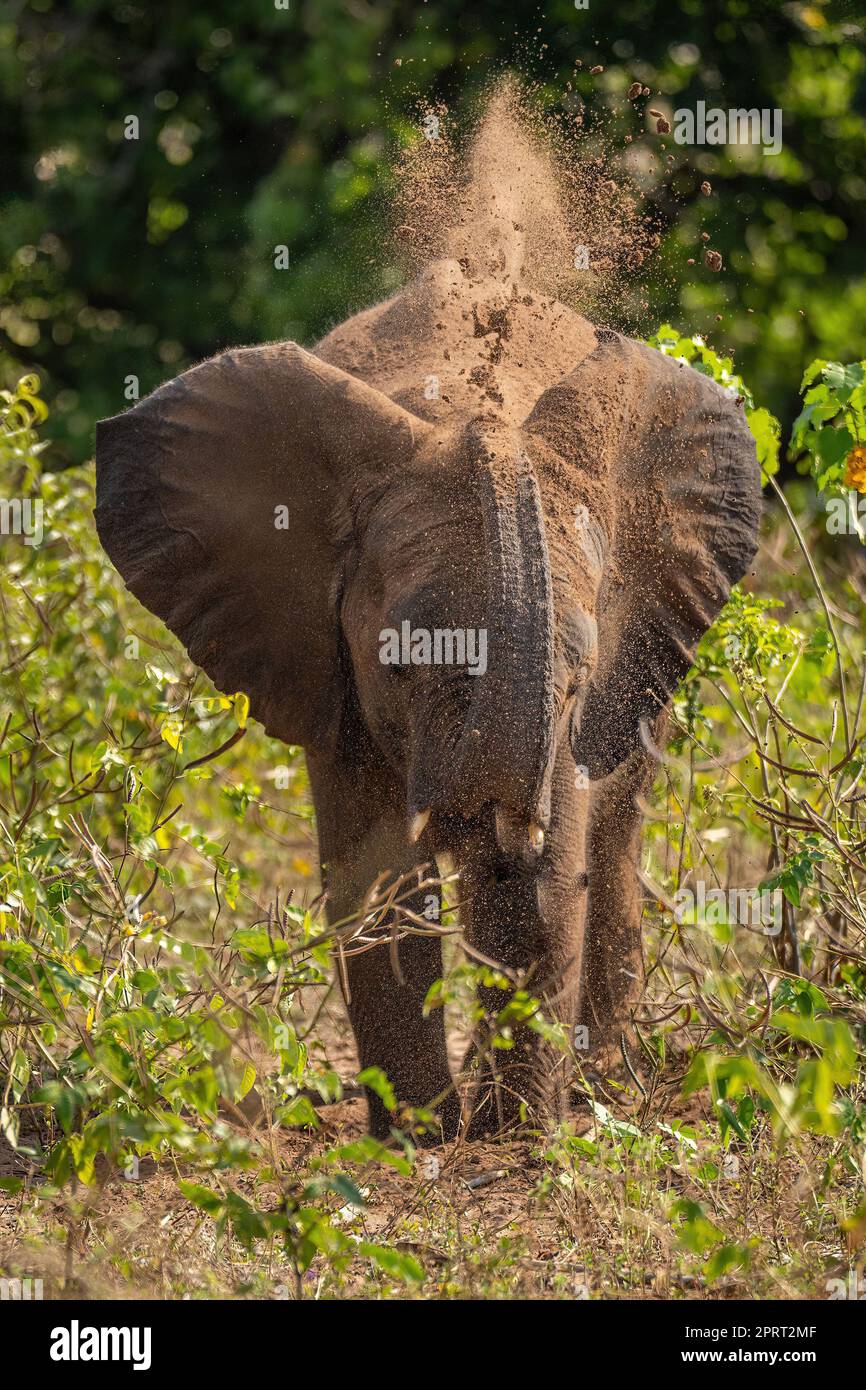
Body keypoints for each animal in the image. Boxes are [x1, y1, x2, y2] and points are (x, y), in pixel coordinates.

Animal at [94, 253, 762, 1141]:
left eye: (578, 679)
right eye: (402, 665)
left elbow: (547, 883)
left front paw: (517, 1136)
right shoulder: (333, 673)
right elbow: (380, 883)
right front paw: (419, 1137)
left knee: (614, 836)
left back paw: (599, 1078)